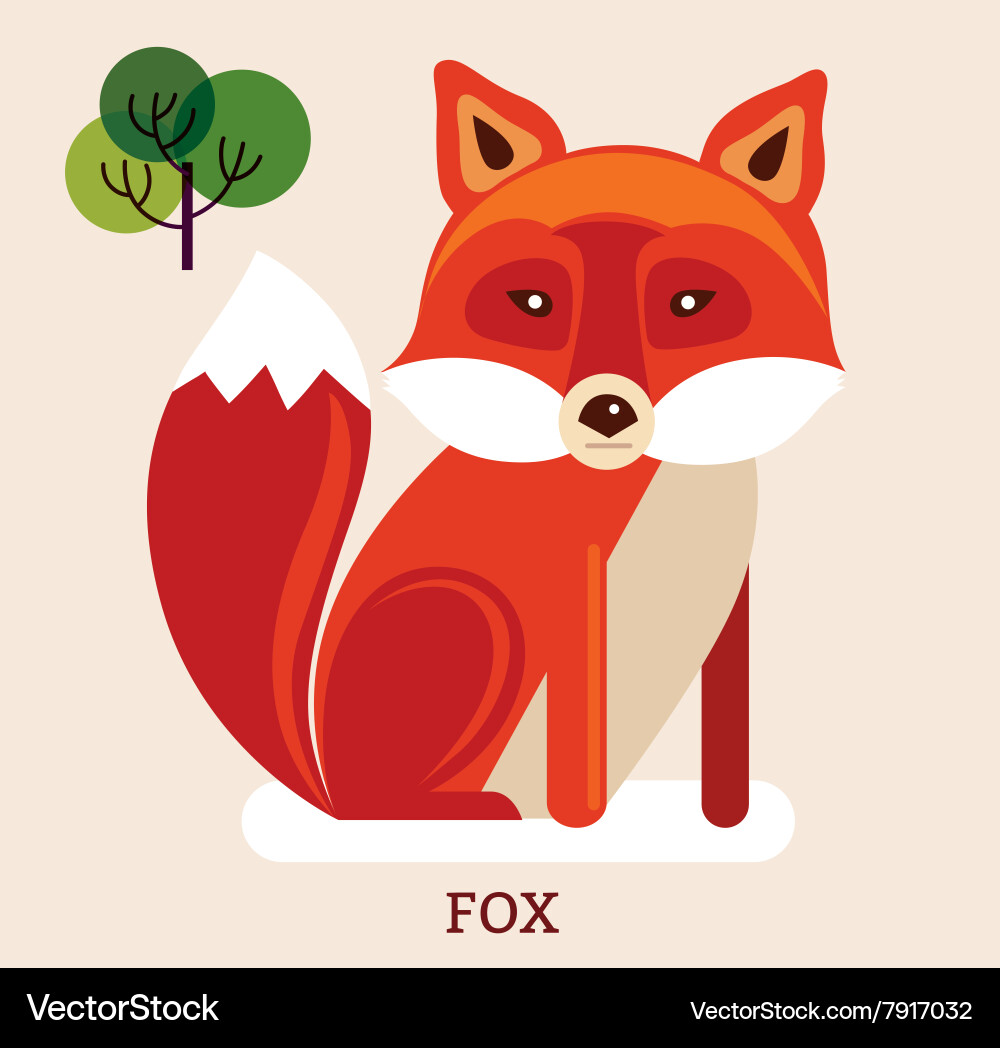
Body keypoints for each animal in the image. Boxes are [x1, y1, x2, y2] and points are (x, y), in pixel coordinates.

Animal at [147, 61, 843, 830]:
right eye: (533, 303)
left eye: (689, 303)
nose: (606, 411)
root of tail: (322, 784)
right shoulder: (574, 586)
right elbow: (579, 743)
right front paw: (581, 826)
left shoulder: (735, 606)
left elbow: (728, 731)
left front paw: (725, 821)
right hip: (472, 619)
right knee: (384, 805)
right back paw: (477, 812)